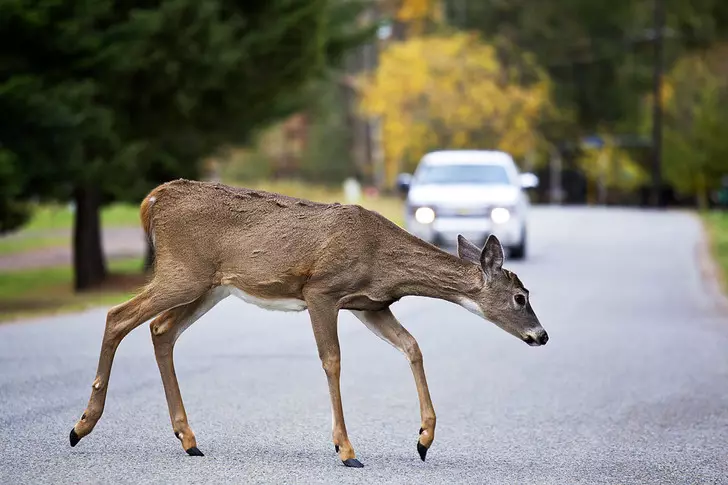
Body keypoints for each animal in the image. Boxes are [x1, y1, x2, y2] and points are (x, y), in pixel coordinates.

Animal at [69, 178, 544, 466]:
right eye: (521, 297)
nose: (541, 335)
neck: (384, 262)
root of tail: (153, 199)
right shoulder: (322, 291)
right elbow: (332, 360)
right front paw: (346, 448)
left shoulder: (370, 305)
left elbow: (412, 346)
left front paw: (424, 439)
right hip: (183, 272)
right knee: (117, 316)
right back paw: (81, 426)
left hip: (209, 285)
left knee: (160, 329)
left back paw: (188, 439)